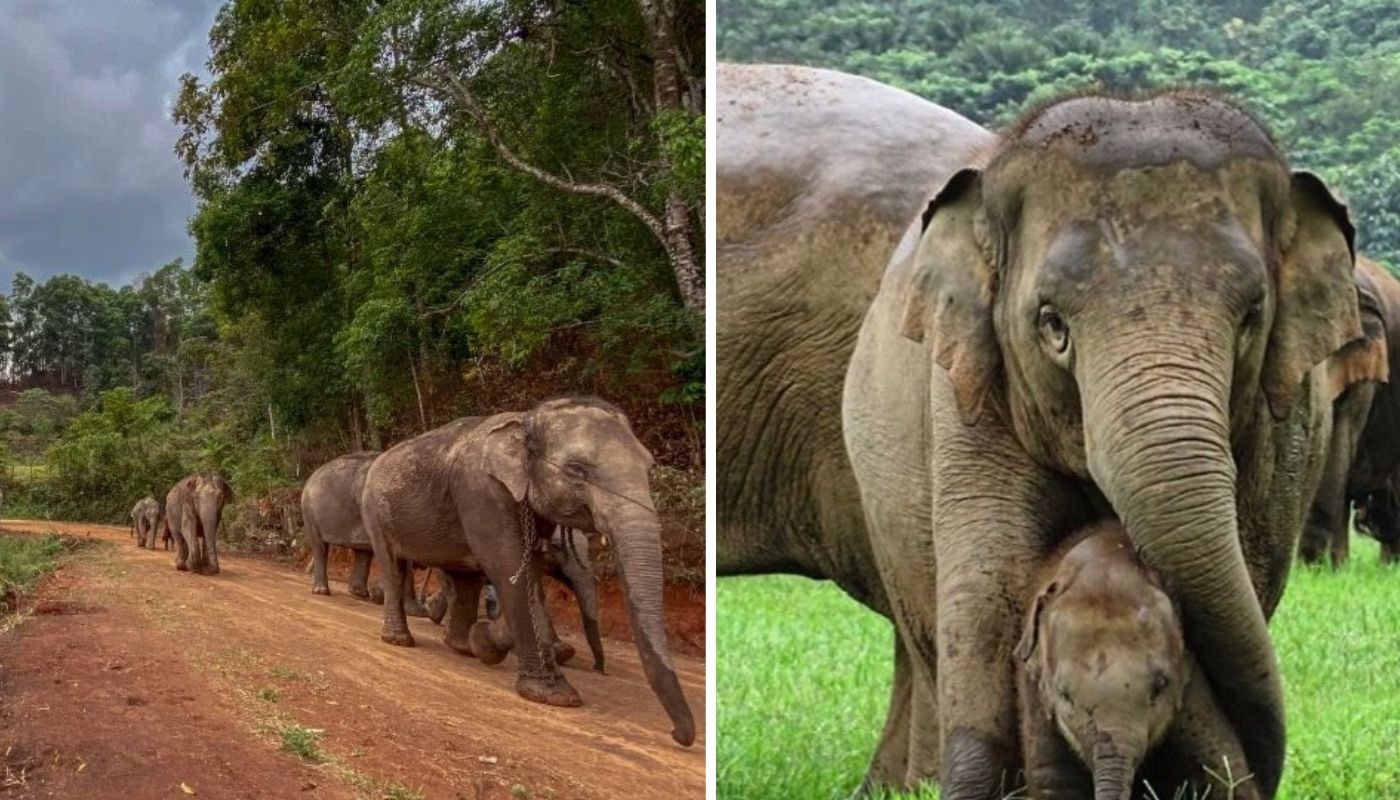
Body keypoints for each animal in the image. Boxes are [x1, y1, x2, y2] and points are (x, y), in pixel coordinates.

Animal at [301, 451, 431, 617]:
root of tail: (311, 477)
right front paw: (417, 612)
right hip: (309, 511)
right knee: (320, 546)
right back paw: (322, 591)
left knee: (362, 552)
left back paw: (359, 594)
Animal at [360, 398, 694, 746]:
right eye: (576, 469)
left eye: (649, 467)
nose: (676, 734)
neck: (526, 419)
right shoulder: (481, 492)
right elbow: (508, 567)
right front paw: (555, 695)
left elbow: (526, 573)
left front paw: (486, 642)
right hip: (375, 511)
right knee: (394, 567)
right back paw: (400, 640)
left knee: (465, 579)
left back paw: (462, 647)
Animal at [1016, 521, 1257, 800]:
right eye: (1065, 696)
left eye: (1160, 687)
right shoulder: (1036, 694)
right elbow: (1055, 780)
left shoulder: (1192, 683)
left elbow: (1225, 772)